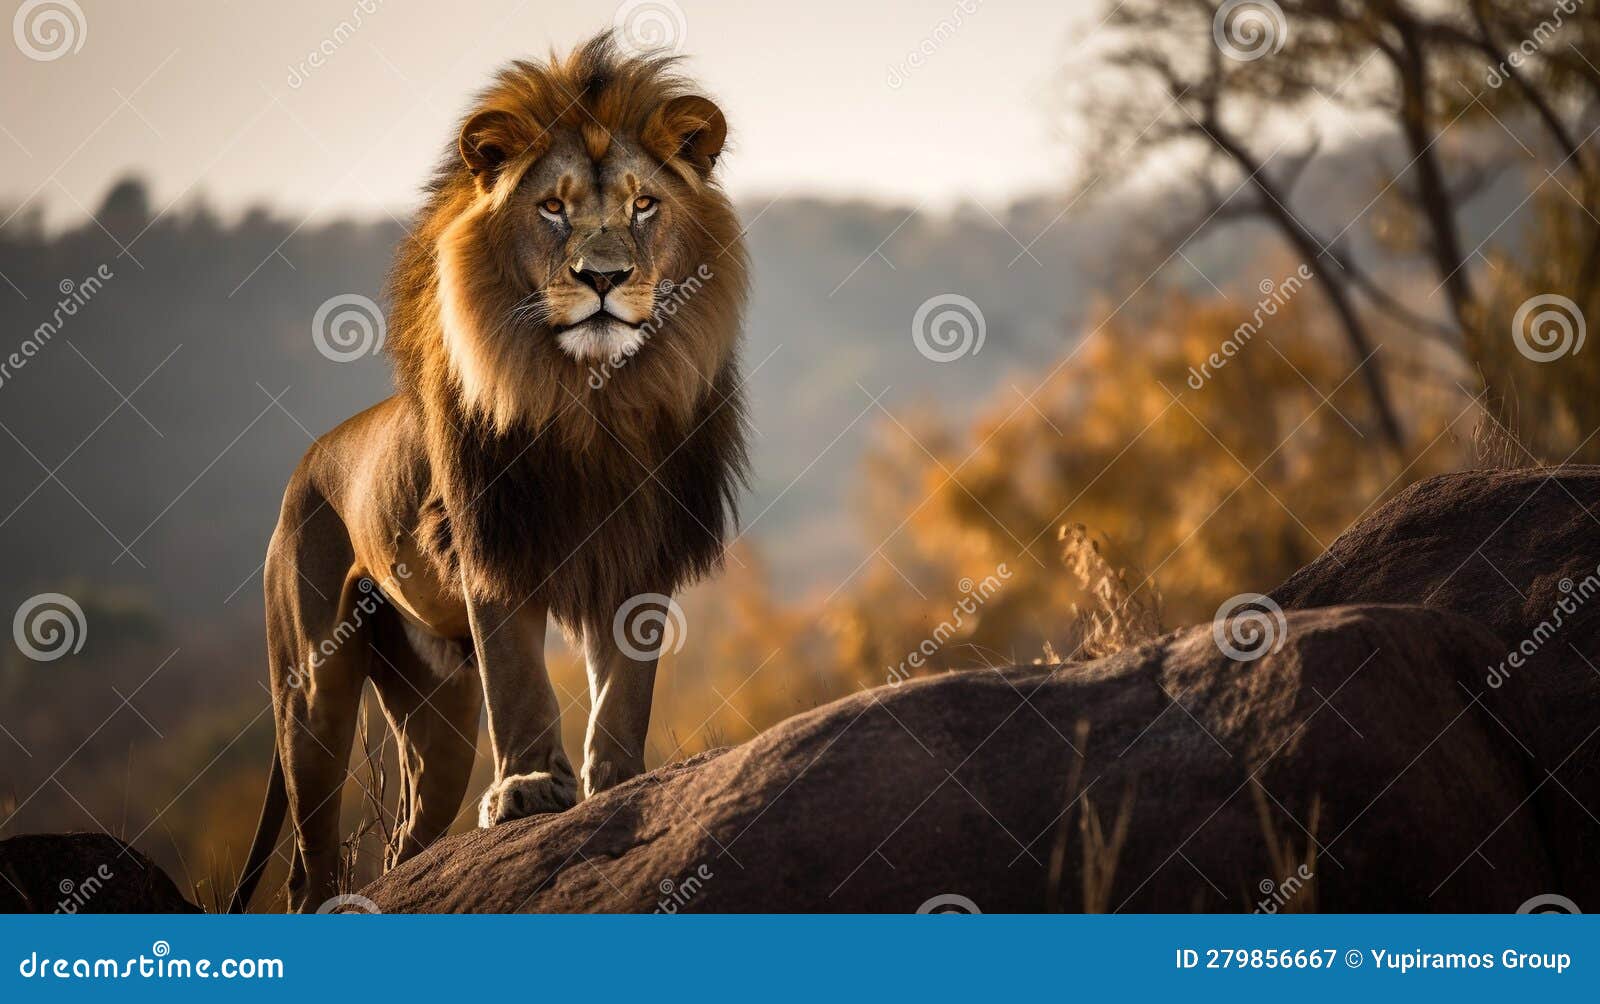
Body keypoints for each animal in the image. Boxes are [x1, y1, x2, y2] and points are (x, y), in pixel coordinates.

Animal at [229, 33, 749, 913]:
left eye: (645, 205)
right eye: (553, 208)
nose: (603, 278)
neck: (591, 399)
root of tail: (305, 468)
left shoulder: (636, 552)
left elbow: (625, 686)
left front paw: (618, 779)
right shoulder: (494, 542)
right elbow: (519, 680)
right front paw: (531, 789)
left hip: (433, 710)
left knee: (407, 839)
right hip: (311, 692)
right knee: (309, 864)